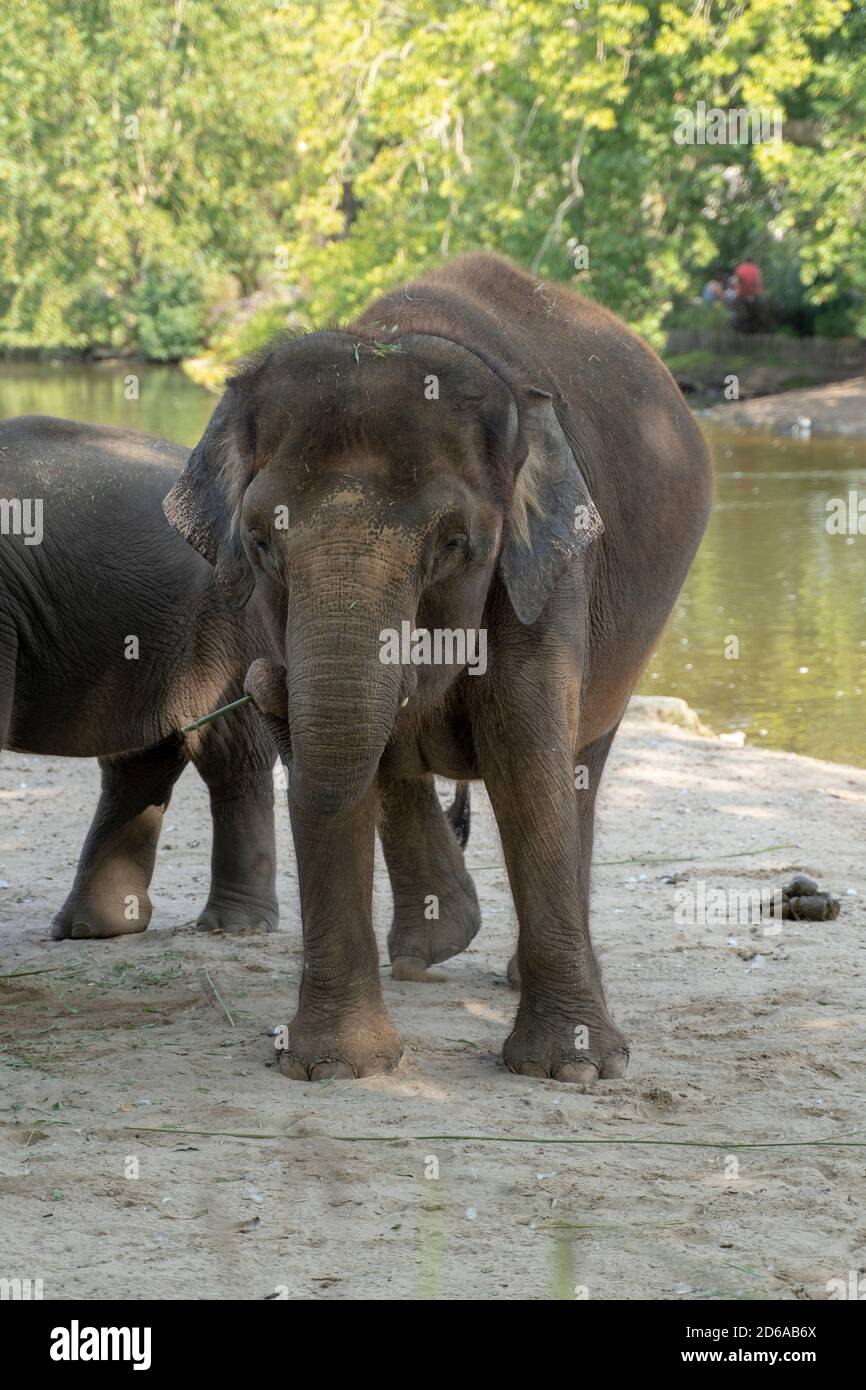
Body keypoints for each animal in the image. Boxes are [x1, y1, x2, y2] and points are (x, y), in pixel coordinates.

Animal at [164, 252, 713, 1082]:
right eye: (260, 542)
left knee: (578, 768)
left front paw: (574, 1069)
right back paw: (432, 946)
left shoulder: (546, 571)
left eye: (454, 545)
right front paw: (337, 1067)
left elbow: (524, 754)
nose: (264, 683)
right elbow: (348, 757)